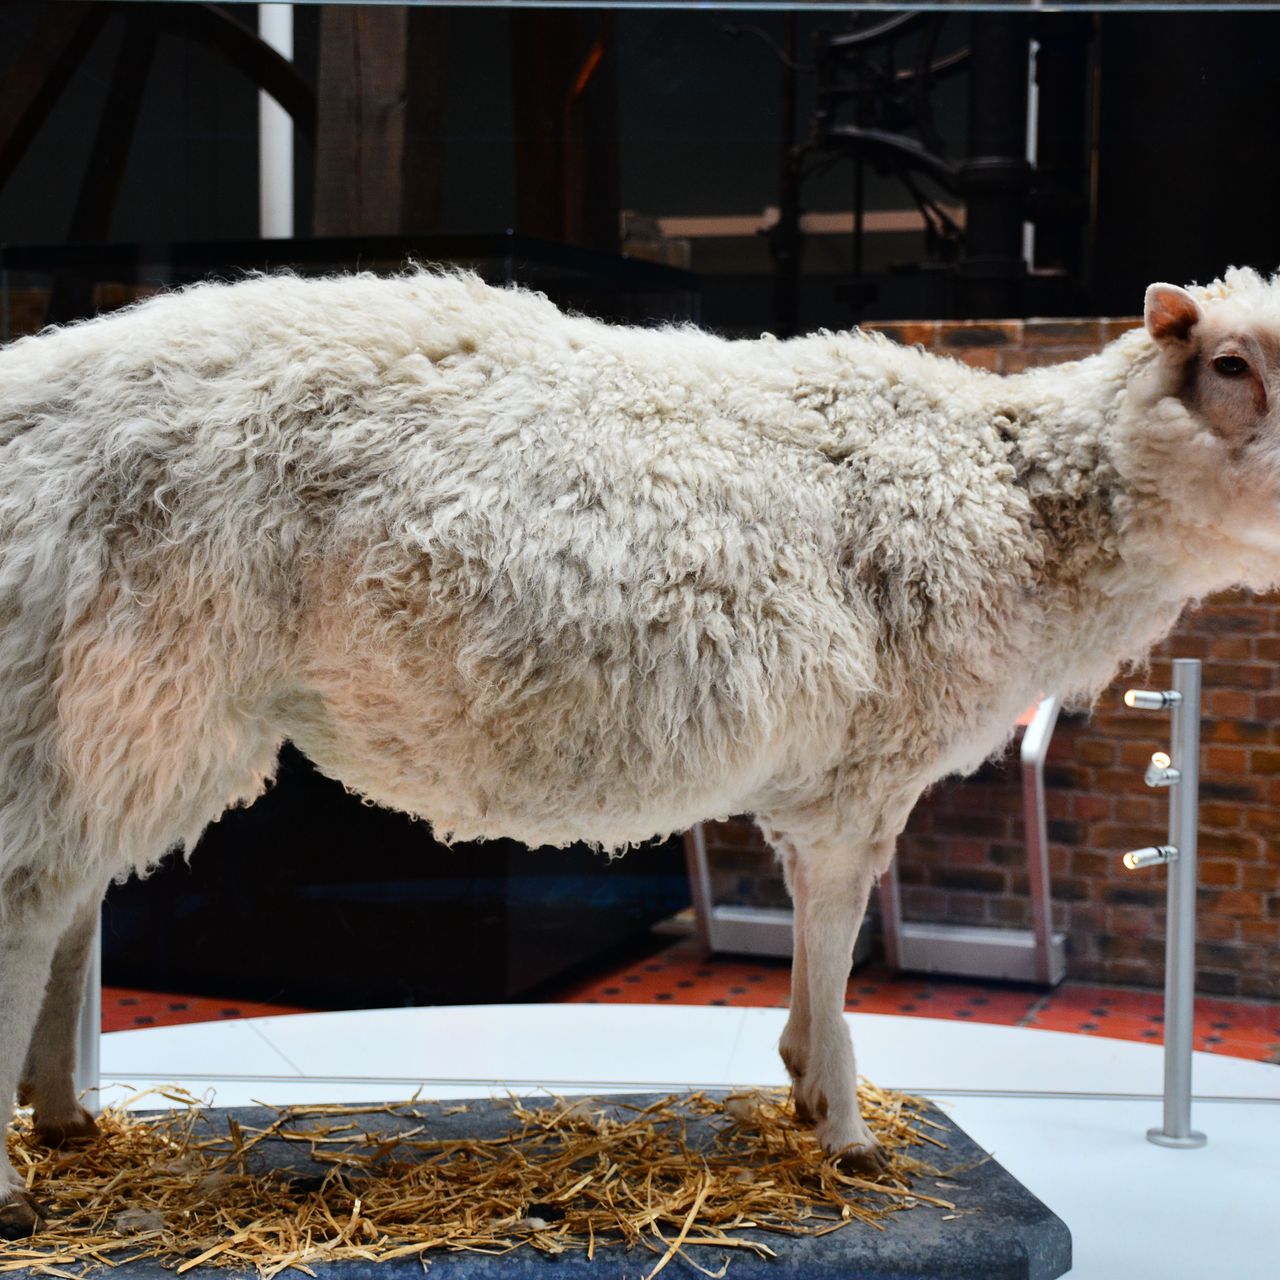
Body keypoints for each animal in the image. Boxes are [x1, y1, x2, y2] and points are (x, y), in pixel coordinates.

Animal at [3, 265, 1279, 1235]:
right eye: (1230, 364)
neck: (1010, 497)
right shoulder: (860, 770)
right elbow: (833, 934)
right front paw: (843, 1124)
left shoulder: (834, 777)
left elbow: (819, 940)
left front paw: (803, 1081)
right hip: (125, 679)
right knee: (34, 904)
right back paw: (25, 1173)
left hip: (110, 712)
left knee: (68, 899)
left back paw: (63, 1114)